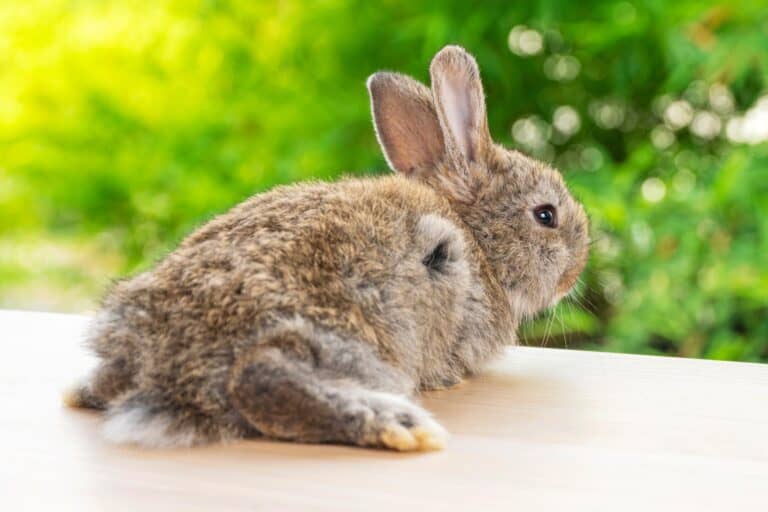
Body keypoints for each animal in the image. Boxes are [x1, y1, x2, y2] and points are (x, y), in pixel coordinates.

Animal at [64, 45, 589, 452]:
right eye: (546, 215)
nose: (575, 273)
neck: (477, 240)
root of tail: (165, 365)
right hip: (339, 329)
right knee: (258, 378)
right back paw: (400, 427)